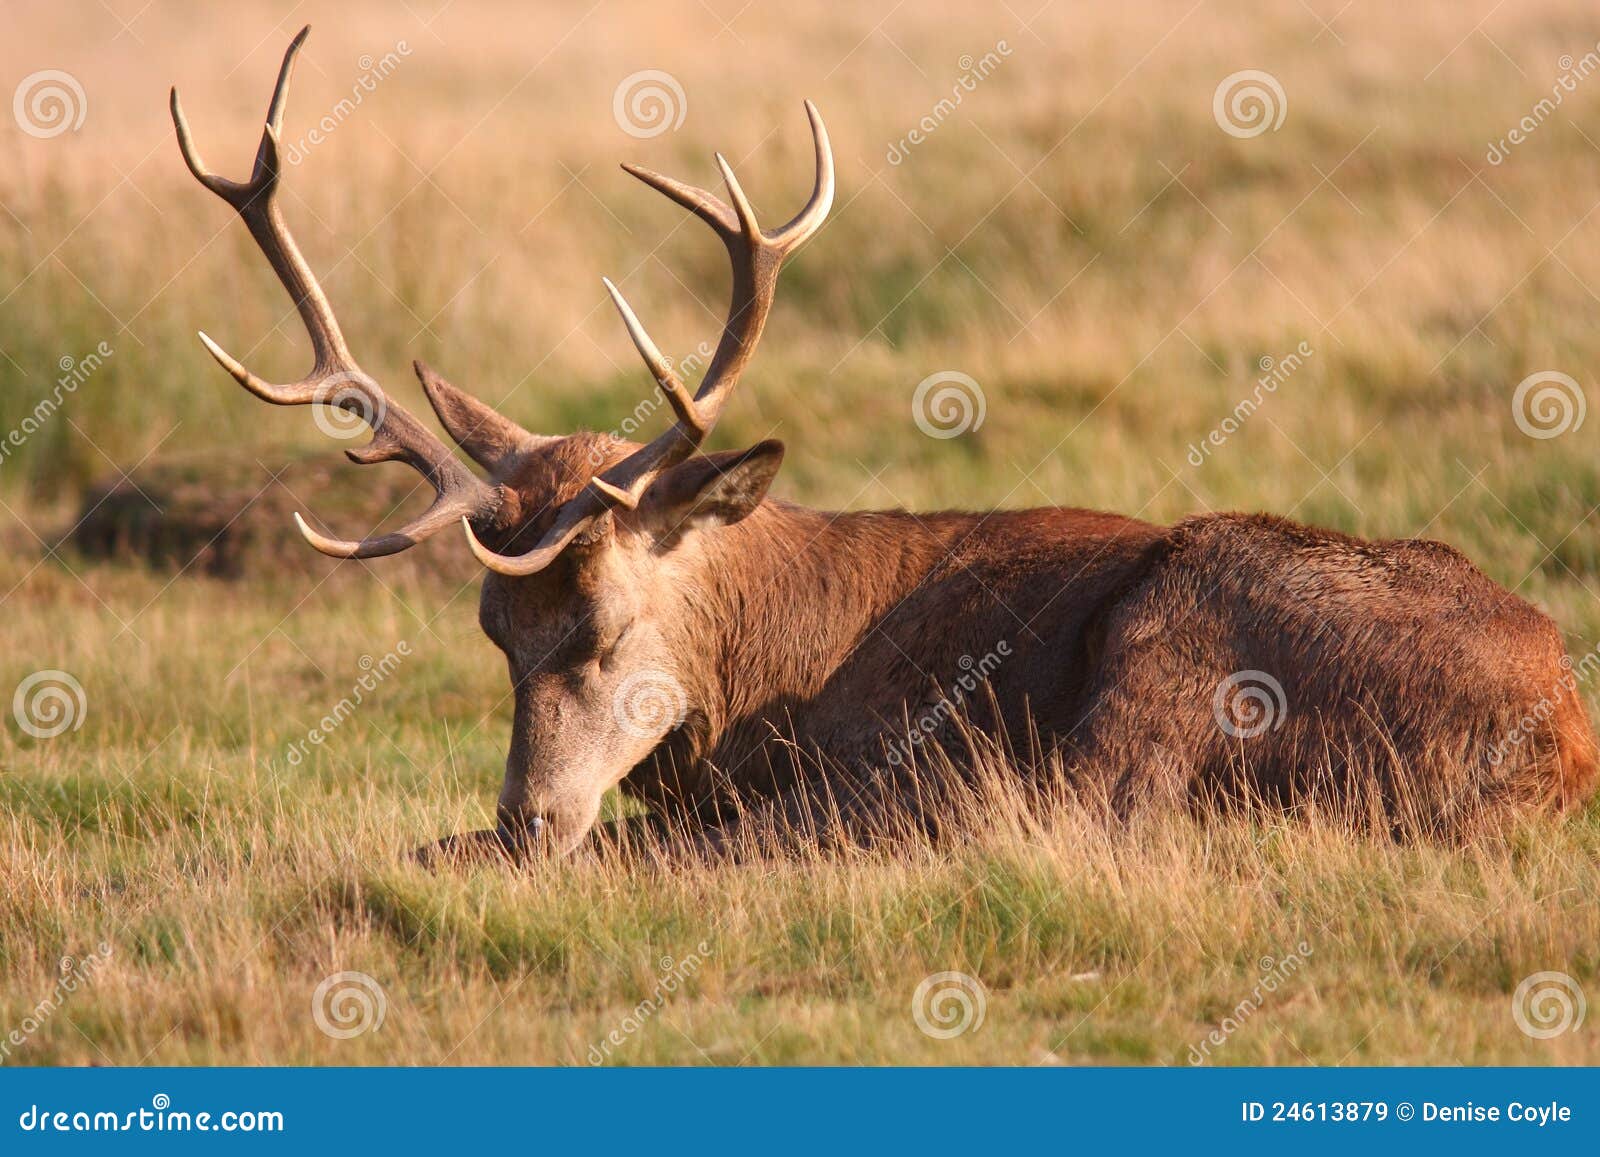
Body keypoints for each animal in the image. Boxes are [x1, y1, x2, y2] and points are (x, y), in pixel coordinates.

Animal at [171, 28, 1598, 863]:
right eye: (491, 632)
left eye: (607, 628)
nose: (533, 819)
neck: (765, 671)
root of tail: (1556, 741)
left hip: (1181, 624)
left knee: (1076, 810)